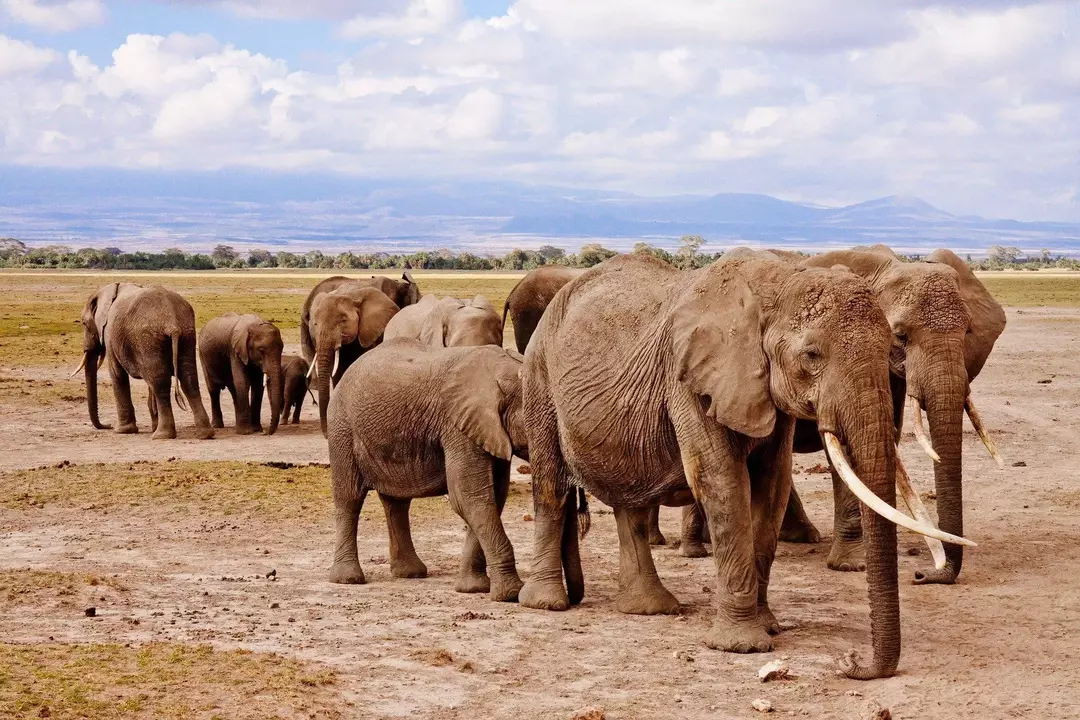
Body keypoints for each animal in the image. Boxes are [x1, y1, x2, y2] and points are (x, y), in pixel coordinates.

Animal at [74, 280, 214, 440]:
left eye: (84, 324)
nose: (107, 426)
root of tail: (172, 321)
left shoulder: (110, 333)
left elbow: (117, 374)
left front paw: (122, 430)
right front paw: (152, 426)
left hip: (147, 337)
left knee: (160, 382)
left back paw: (161, 435)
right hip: (187, 334)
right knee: (188, 379)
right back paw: (204, 434)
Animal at [306, 284, 399, 433]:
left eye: (343, 320)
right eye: (315, 324)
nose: (325, 434)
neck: (350, 295)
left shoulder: (369, 332)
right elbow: (337, 372)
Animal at [328, 338, 531, 604]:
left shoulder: (488, 430)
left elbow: (491, 497)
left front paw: (473, 588)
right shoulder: (457, 426)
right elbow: (469, 497)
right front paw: (510, 594)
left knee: (397, 503)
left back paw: (410, 573)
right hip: (342, 427)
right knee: (349, 498)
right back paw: (347, 579)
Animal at [514, 250, 972, 677]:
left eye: (891, 344)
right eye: (811, 355)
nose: (851, 661)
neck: (777, 285)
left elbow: (772, 486)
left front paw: (767, 625)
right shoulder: (690, 379)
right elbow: (723, 482)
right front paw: (742, 645)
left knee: (631, 502)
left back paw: (648, 608)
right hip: (538, 378)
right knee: (551, 485)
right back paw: (546, 603)